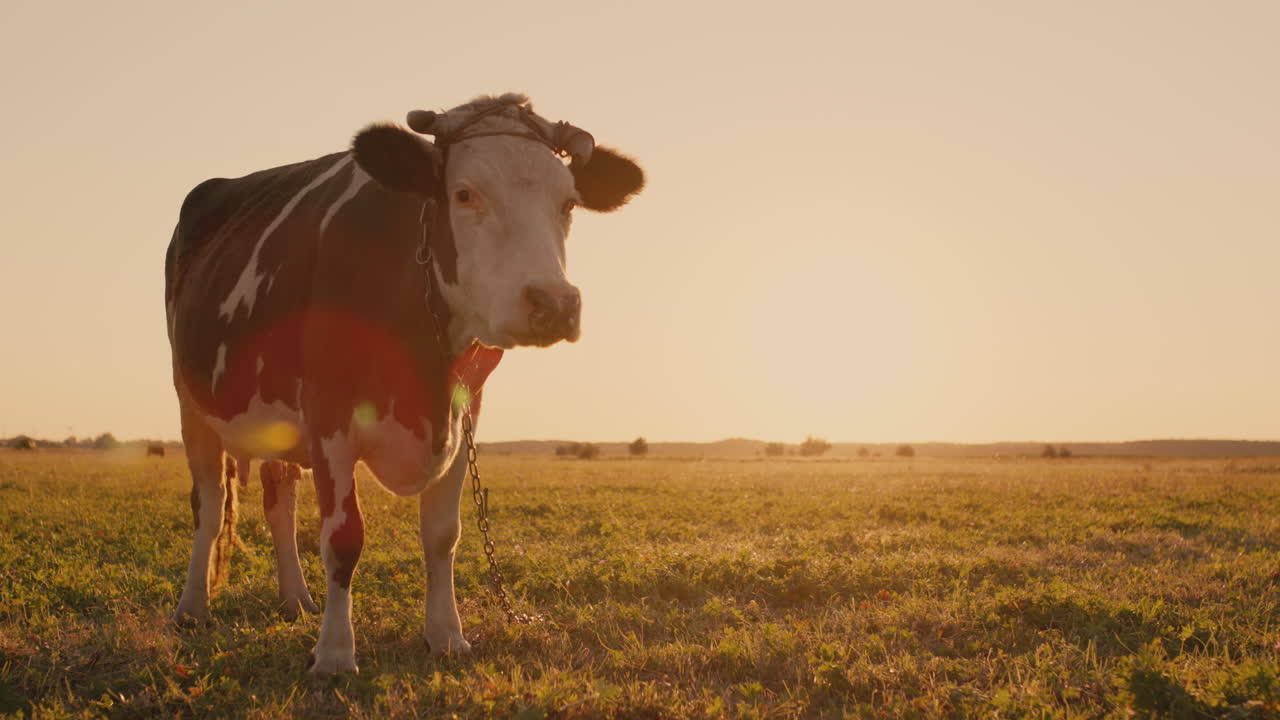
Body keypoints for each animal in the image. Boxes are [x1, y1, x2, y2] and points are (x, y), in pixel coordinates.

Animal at [164, 93, 643, 673]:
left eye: (569, 202)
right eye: (464, 193)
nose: (553, 303)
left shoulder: (463, 414)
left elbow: (442, 535)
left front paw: (447, 636)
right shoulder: (329, 413)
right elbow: (343, 537)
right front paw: (334, 653)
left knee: (280, 499)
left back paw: (296, 598)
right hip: (191, 403)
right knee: (209, 506)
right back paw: (192, 608)